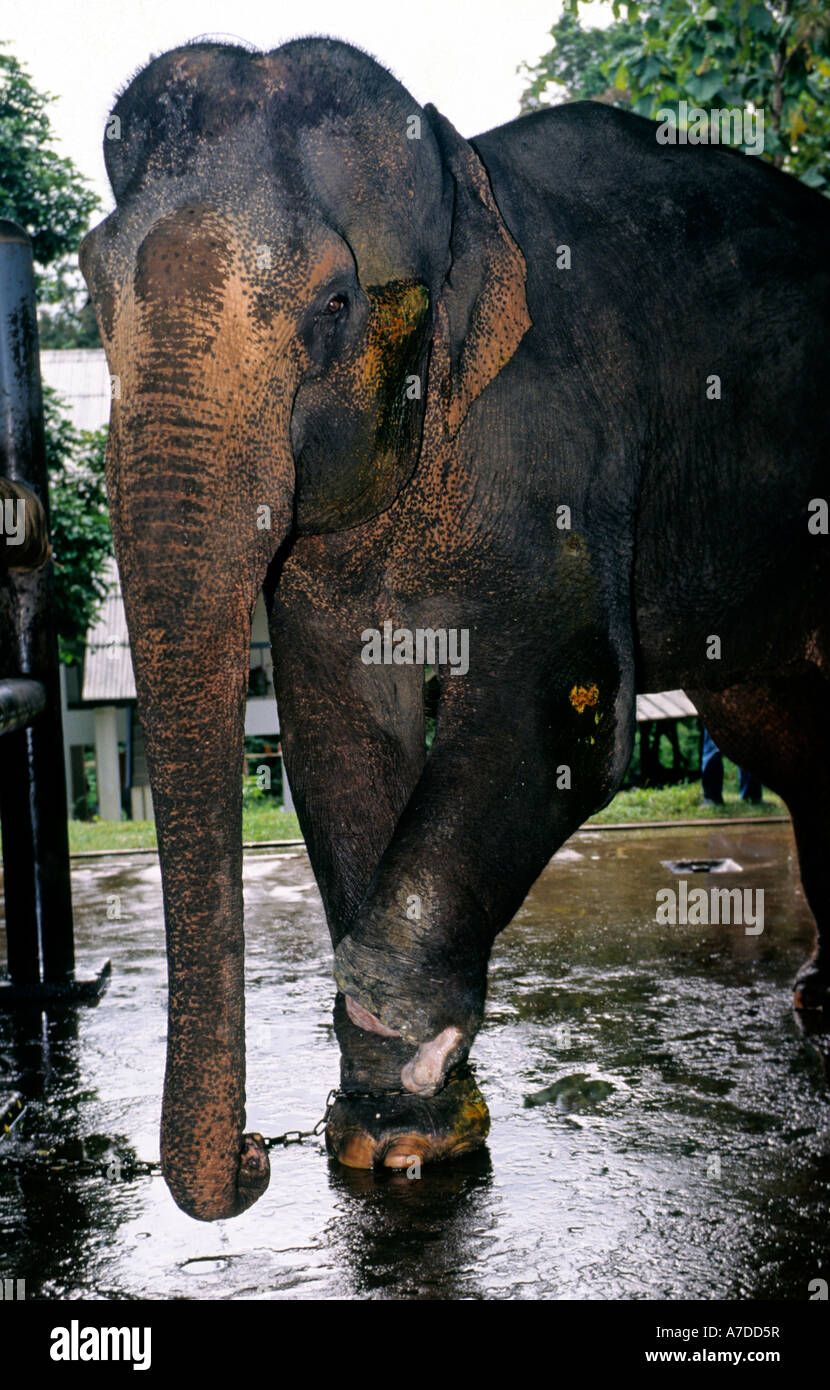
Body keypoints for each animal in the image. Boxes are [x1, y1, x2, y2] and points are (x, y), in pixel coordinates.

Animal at [80, 36, 830, 1221]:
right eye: (85, 286)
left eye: (334, 303)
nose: (254, 1153)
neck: (457, 167)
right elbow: (338, 727)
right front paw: (394, 1138)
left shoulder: (561, 441)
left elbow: (563, 703)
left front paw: (403, 1047)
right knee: (784, 736)